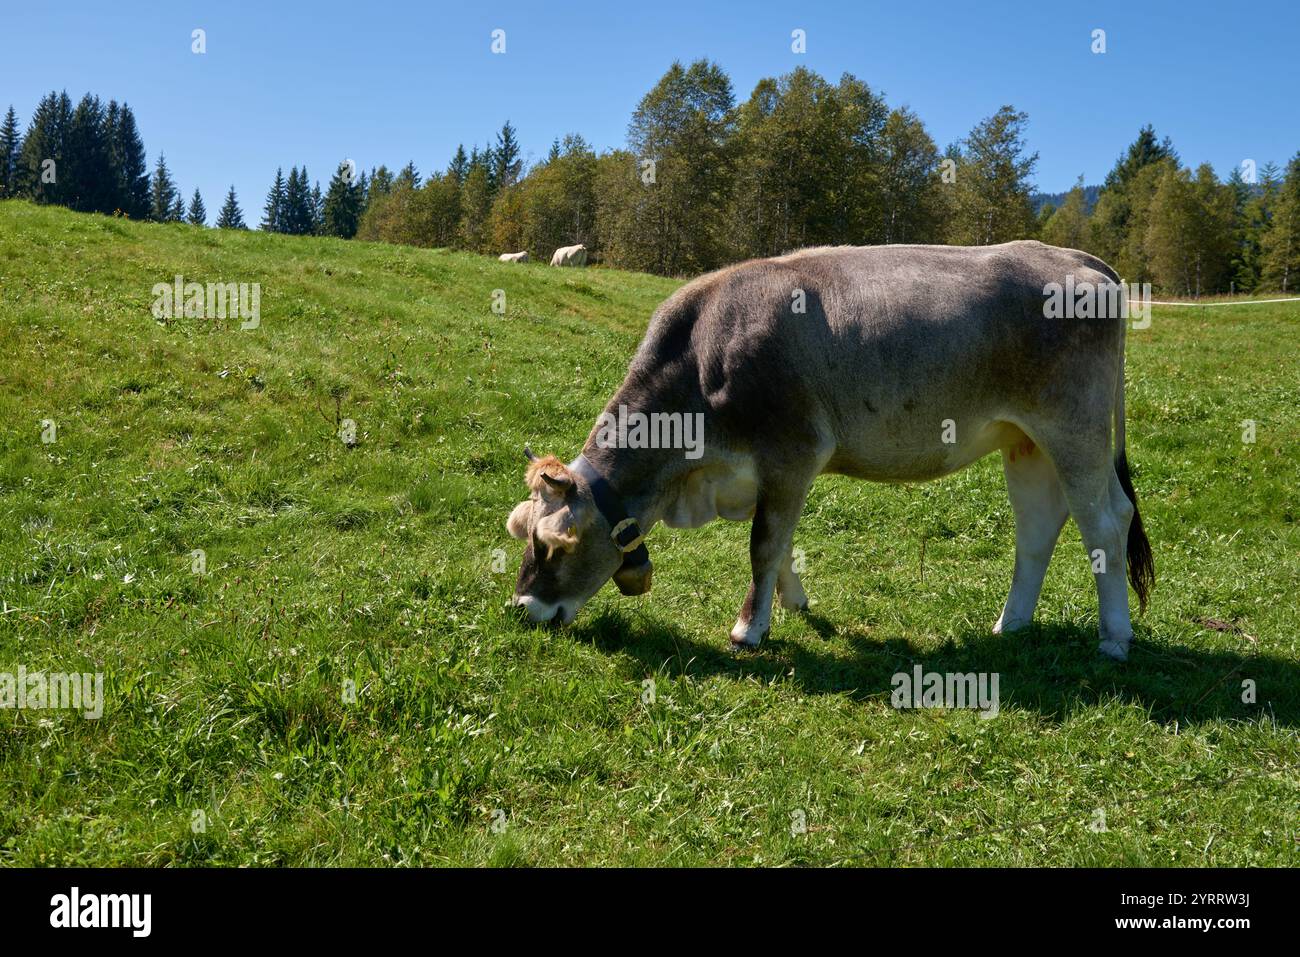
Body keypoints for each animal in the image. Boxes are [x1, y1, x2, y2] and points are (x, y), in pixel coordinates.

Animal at [506, 241, 1154, 662]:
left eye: (554, 543)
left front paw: (748, 629)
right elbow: (782, 542)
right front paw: (793, 604)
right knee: (1039, 527)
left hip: (1075, 430)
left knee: (1105, 521)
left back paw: (1114, 638)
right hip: (1026, 441)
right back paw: (1010, 624)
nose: (522, 608)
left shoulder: (790, 452)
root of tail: (1079, 259)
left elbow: (764, 545)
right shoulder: (769, 473)